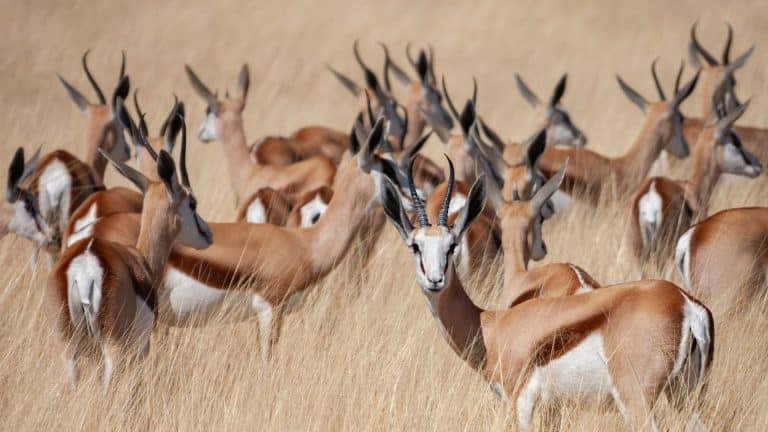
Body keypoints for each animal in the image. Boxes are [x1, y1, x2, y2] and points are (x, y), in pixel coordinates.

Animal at [44, 142, 213, 390]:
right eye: (192, 203)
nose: (208, 234)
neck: (141, 257)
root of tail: (85, 267)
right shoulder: (141, 349)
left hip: (68, 351)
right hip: (113, 350)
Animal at [379, 165, 713, 432]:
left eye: (451, 245)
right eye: (415, 246)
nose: (435, 280)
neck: (491, 327)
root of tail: (685, 303)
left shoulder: (521, 404)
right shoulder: (551, 408)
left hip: (637, 401)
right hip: (685, 396)